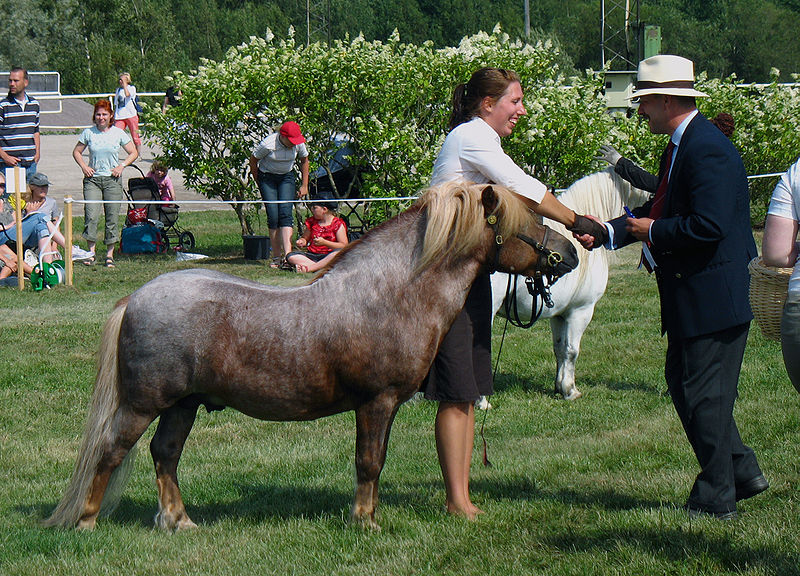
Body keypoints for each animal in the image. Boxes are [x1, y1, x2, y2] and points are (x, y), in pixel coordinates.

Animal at [44, 182, 579, 532]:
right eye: (529, 221)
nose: (571, 253)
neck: (391, 294)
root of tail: (137, 297)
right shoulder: (377, 402)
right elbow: (370, 462)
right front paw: (365, 522)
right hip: (143, 405)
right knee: (112, 450)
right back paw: (87, 522)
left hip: (183, 406)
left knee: (165, 455)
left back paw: (179, 522)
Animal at [490, 168, 650, 400]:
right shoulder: (581, 311)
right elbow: (572, 350)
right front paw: (569, 389)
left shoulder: (559, 314)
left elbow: (559, 349)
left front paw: (559, 386)